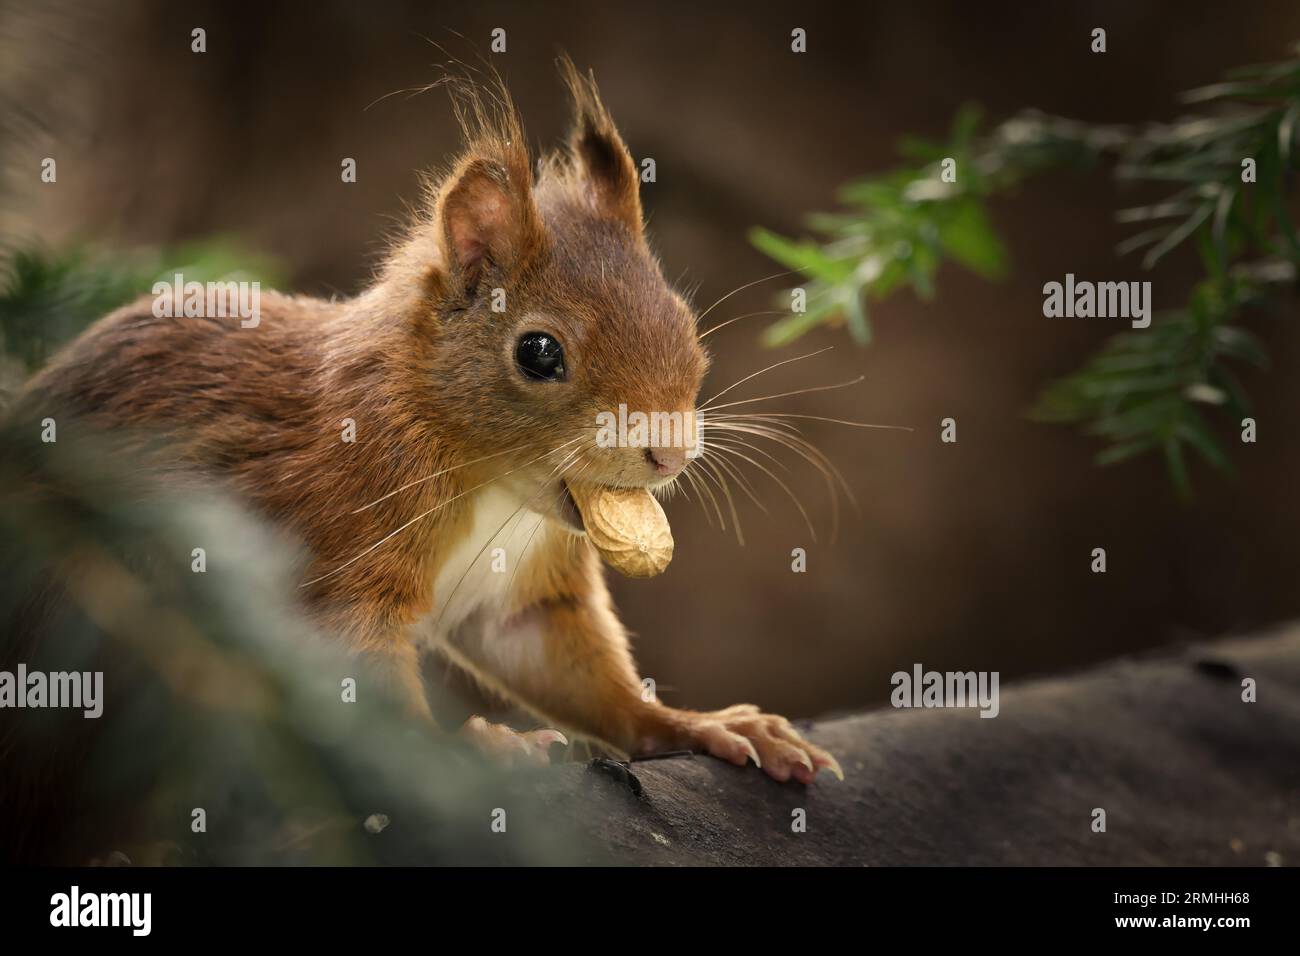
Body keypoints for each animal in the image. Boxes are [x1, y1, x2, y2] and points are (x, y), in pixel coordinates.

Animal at [7, 60, 841, 787]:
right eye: (539, 352)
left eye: (682, 319)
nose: (669, 454)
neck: (492, 482)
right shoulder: (345, 534)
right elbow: (358, 666)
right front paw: (473, 750)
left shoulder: (522, 595)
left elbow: (567, 666)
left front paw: (702, 724)